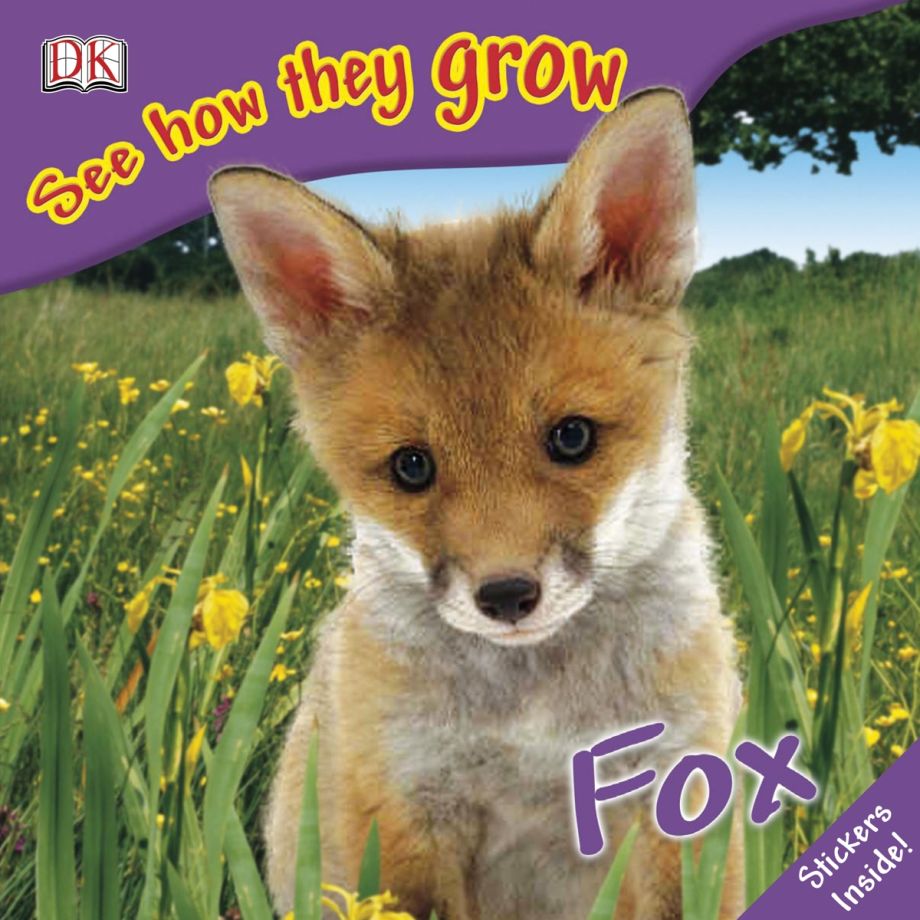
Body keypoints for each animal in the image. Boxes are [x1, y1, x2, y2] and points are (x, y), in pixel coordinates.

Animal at [208, 87, 743, 920]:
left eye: (572, 438)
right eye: (412, 467)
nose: (508, 595)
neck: (539, 731)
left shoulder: (679, 798)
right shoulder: (403, 817)